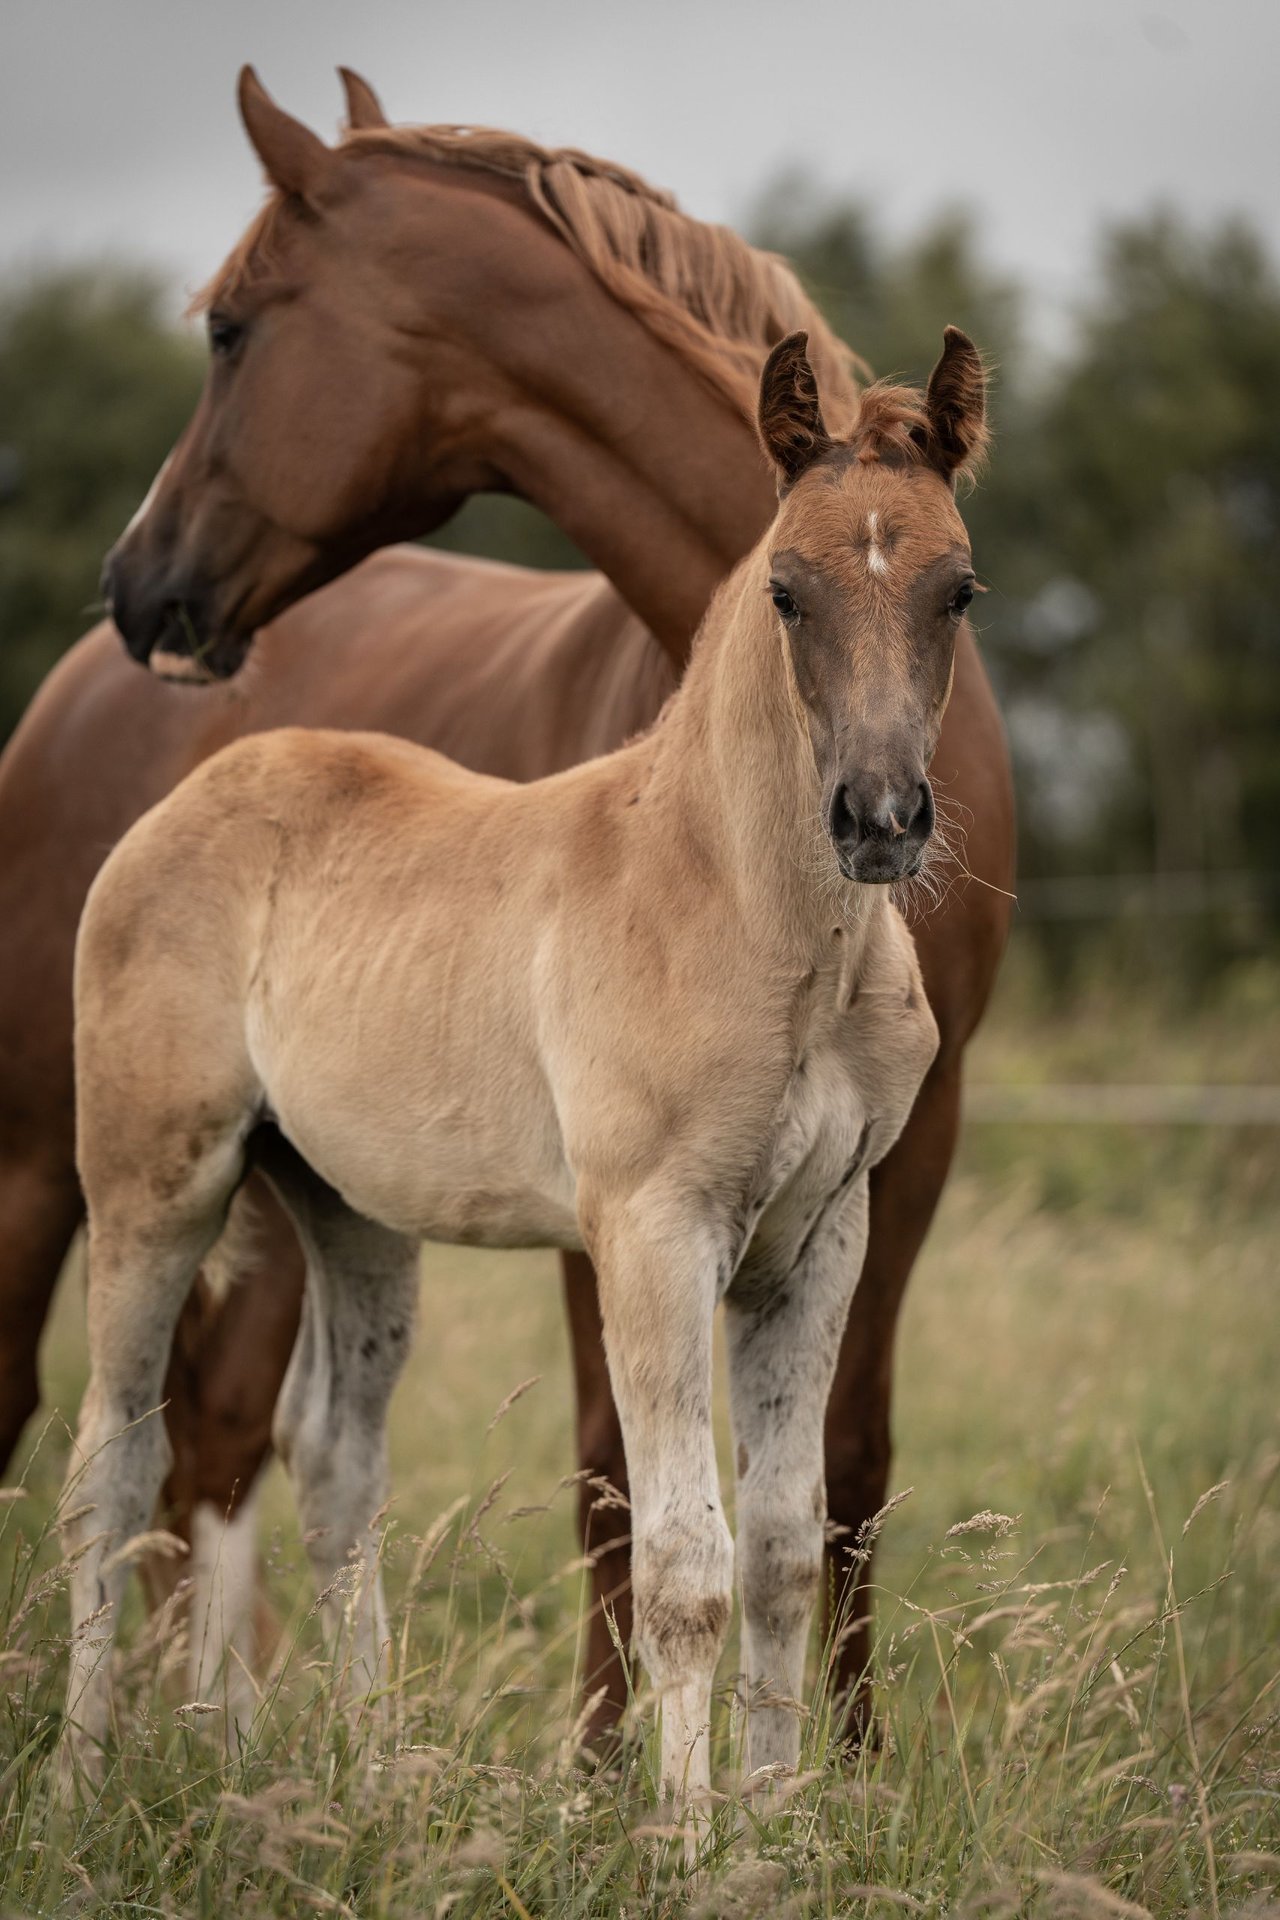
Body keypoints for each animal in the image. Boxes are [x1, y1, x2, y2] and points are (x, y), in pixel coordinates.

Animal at [1, 69, 1013, 1737]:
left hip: (332, 1203)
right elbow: (659, 1535)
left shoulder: (844, 1211)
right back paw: (101, 1762)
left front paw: (824, 1782)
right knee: (104, 1456)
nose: (151, 587)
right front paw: (627, 1787)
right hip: (121, 1171)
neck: (742, 901)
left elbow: (805, 1526)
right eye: (784, 589)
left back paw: (311, 1754)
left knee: (299, 1449)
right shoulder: (638, 1221)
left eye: (960, 591)